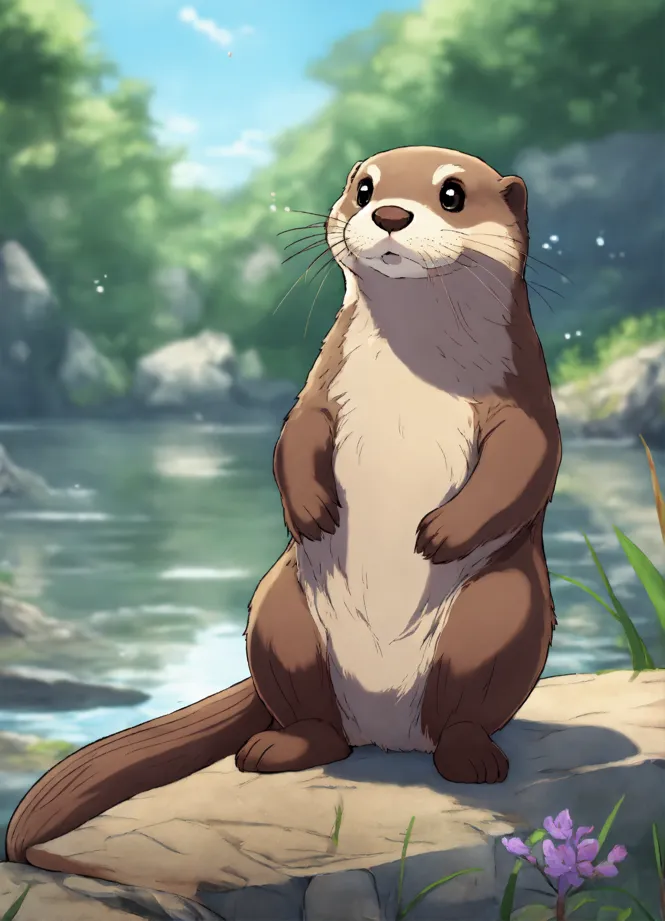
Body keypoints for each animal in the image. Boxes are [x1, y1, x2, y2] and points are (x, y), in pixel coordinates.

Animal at [6, 146, 561, 865]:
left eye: (452, 193)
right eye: (364, 187)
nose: (389, 214)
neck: (414, 368)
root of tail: (386, 729)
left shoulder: (522, 396)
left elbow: (528, 460)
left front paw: (442, 531)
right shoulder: (319, 386)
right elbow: (293, 436)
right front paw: (311, 510)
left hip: (501, 615)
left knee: (466, 710)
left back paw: (471, 759)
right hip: (280, 615)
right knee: (313, 719)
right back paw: (277, 747)